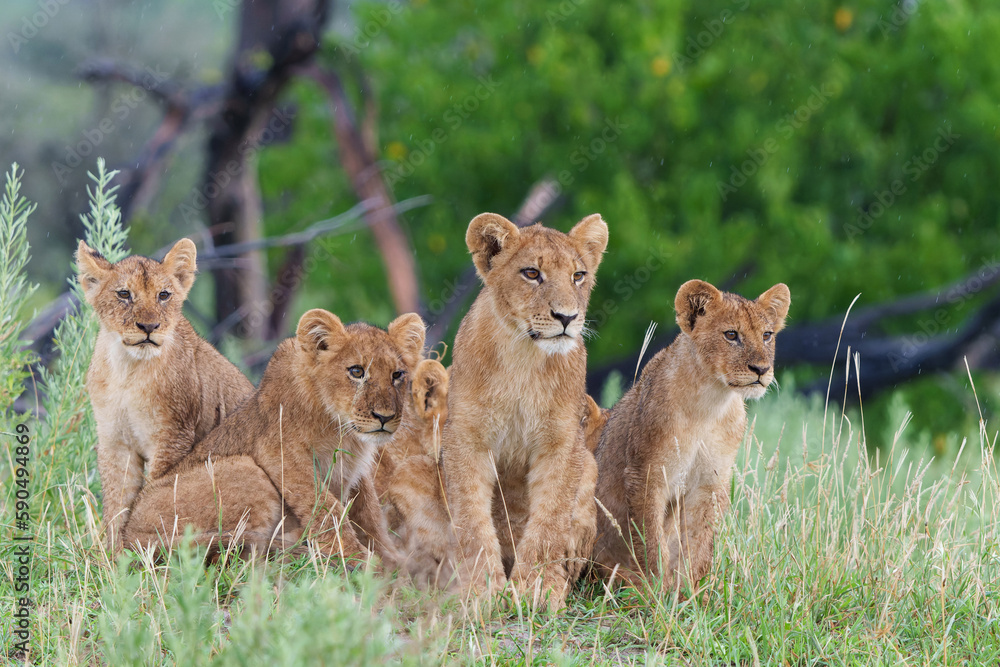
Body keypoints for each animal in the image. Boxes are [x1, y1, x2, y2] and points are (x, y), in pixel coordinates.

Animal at [76, 238, 254, 550]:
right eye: (124, 294)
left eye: (163, 295)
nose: (148, 327)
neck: (128, 370)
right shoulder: (116, 441)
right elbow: (117, 504)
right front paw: (112, 558)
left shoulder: (173, 437)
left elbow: (155, 492)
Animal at [121, 309, 426, 568]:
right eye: (356, 371)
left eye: (397, 375)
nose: (384, 417)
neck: (343, 429)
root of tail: (129, 536)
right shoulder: (281, 451)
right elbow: (325, 508)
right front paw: (358, 560)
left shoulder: (355, 470)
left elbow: (369, 514)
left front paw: (393, 561)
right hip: (246, 470)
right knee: (235, 557)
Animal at [440, 212, 608, 610]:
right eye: (532, 273)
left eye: (578, 275)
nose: (567, 317)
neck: (524, 358)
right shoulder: (465, 438)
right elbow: (471, 518)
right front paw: (479, 589)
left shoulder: (563, 442)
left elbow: (550, 519)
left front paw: (537, 589)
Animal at [592, 279, 790, 590]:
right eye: (731, 335)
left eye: (767, 335)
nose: (761, 369)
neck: (710, 402)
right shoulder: (646, 475)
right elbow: (651, 541)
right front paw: (656, 590)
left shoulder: (709, 483)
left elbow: (698, 545)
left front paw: (691, 593)